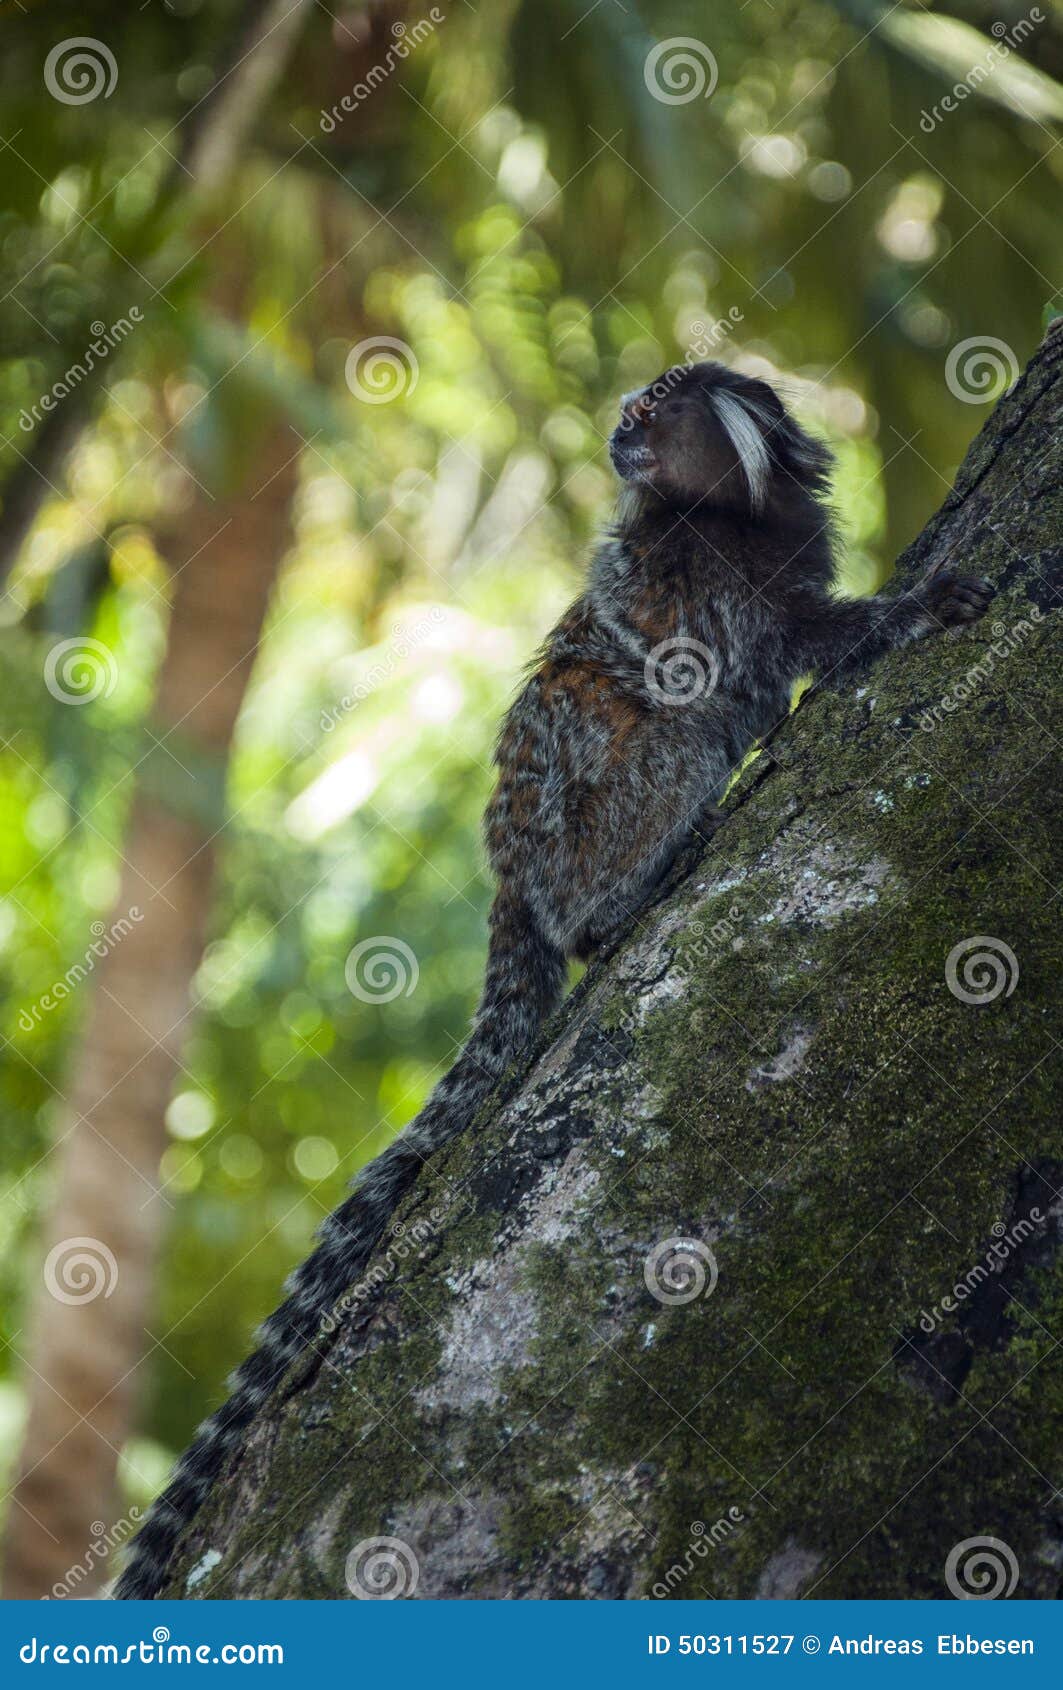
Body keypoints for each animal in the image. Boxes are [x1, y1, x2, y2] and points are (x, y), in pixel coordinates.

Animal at [115, 360, 991, 1597]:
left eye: (649, 415)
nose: (618, 431)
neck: (731, 519)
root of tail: (516, 876)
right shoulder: (703, 595)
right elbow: (757, 654)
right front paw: (913, 609)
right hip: (593, 823)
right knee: (667, 732)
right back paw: (632, 888)